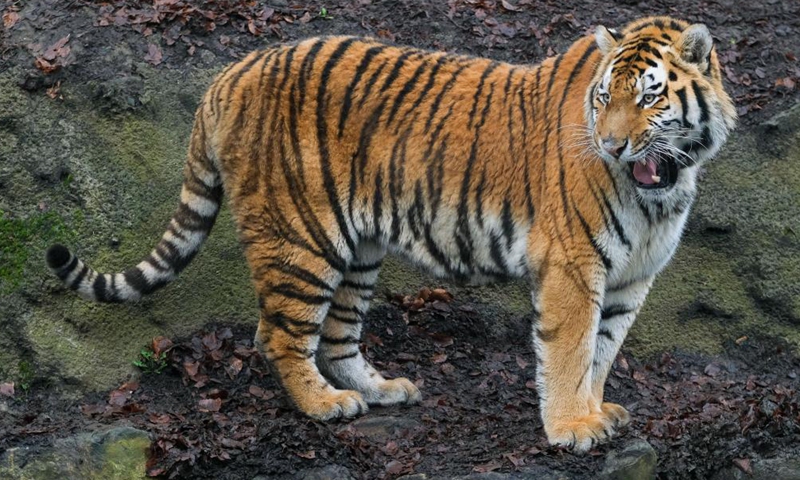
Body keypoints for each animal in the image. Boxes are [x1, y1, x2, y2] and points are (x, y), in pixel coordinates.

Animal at [46, 16, 736, 452]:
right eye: (603, 98)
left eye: (648, 98)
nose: (612, 144)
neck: (664, 186)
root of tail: (229, 74)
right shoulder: (573, 265)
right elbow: (570, 351)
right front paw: (571, 428)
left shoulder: (630, 277)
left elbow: (602, 351)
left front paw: (596, 412)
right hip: (302, 239)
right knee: (278, 335)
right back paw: (325, 405)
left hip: (359, 249)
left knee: (337, 337)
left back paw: (381, 390)